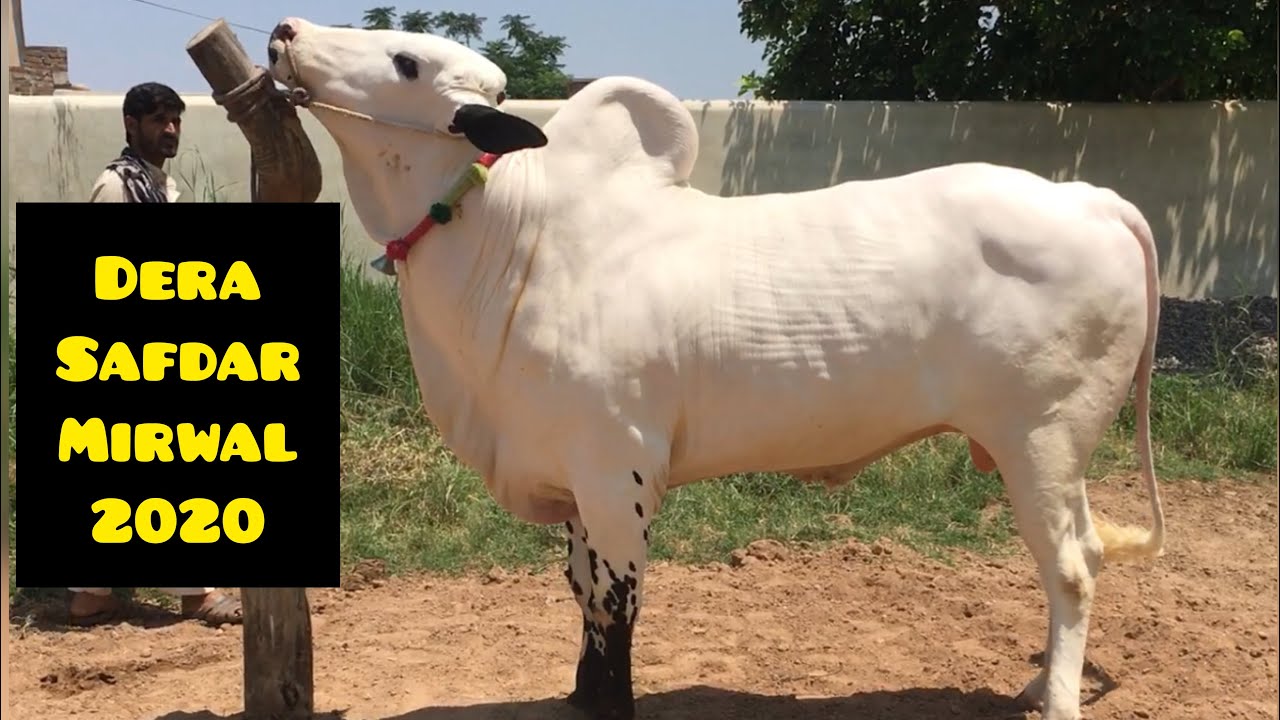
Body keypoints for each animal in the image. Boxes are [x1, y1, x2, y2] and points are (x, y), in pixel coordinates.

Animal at [267, 17, 1167, 720]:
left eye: (405, 62)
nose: (285, 31)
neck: (516, 240)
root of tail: (1089, 197)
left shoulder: (618, 469)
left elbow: (616, 603)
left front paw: (612, 705)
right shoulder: (575, 479)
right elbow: (580, 591)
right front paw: (579, 696)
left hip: (1041, 441)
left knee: (1072, 571)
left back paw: (1054, 699)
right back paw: (1037, 685)